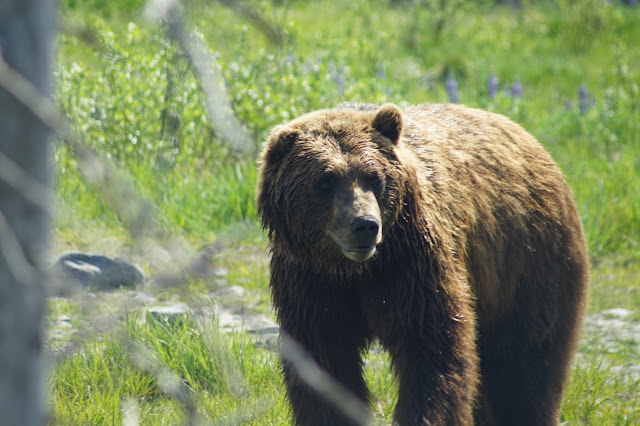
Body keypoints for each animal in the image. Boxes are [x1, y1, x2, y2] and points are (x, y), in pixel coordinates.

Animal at [257, 103, 589, 426]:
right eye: (325, 181)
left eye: (374, 177)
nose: (365, 225)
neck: (356, 270)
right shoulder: (311, 281)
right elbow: (323, 359)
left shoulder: (412, 264)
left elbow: (431, 350)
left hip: (529, 263)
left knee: (526, 366)